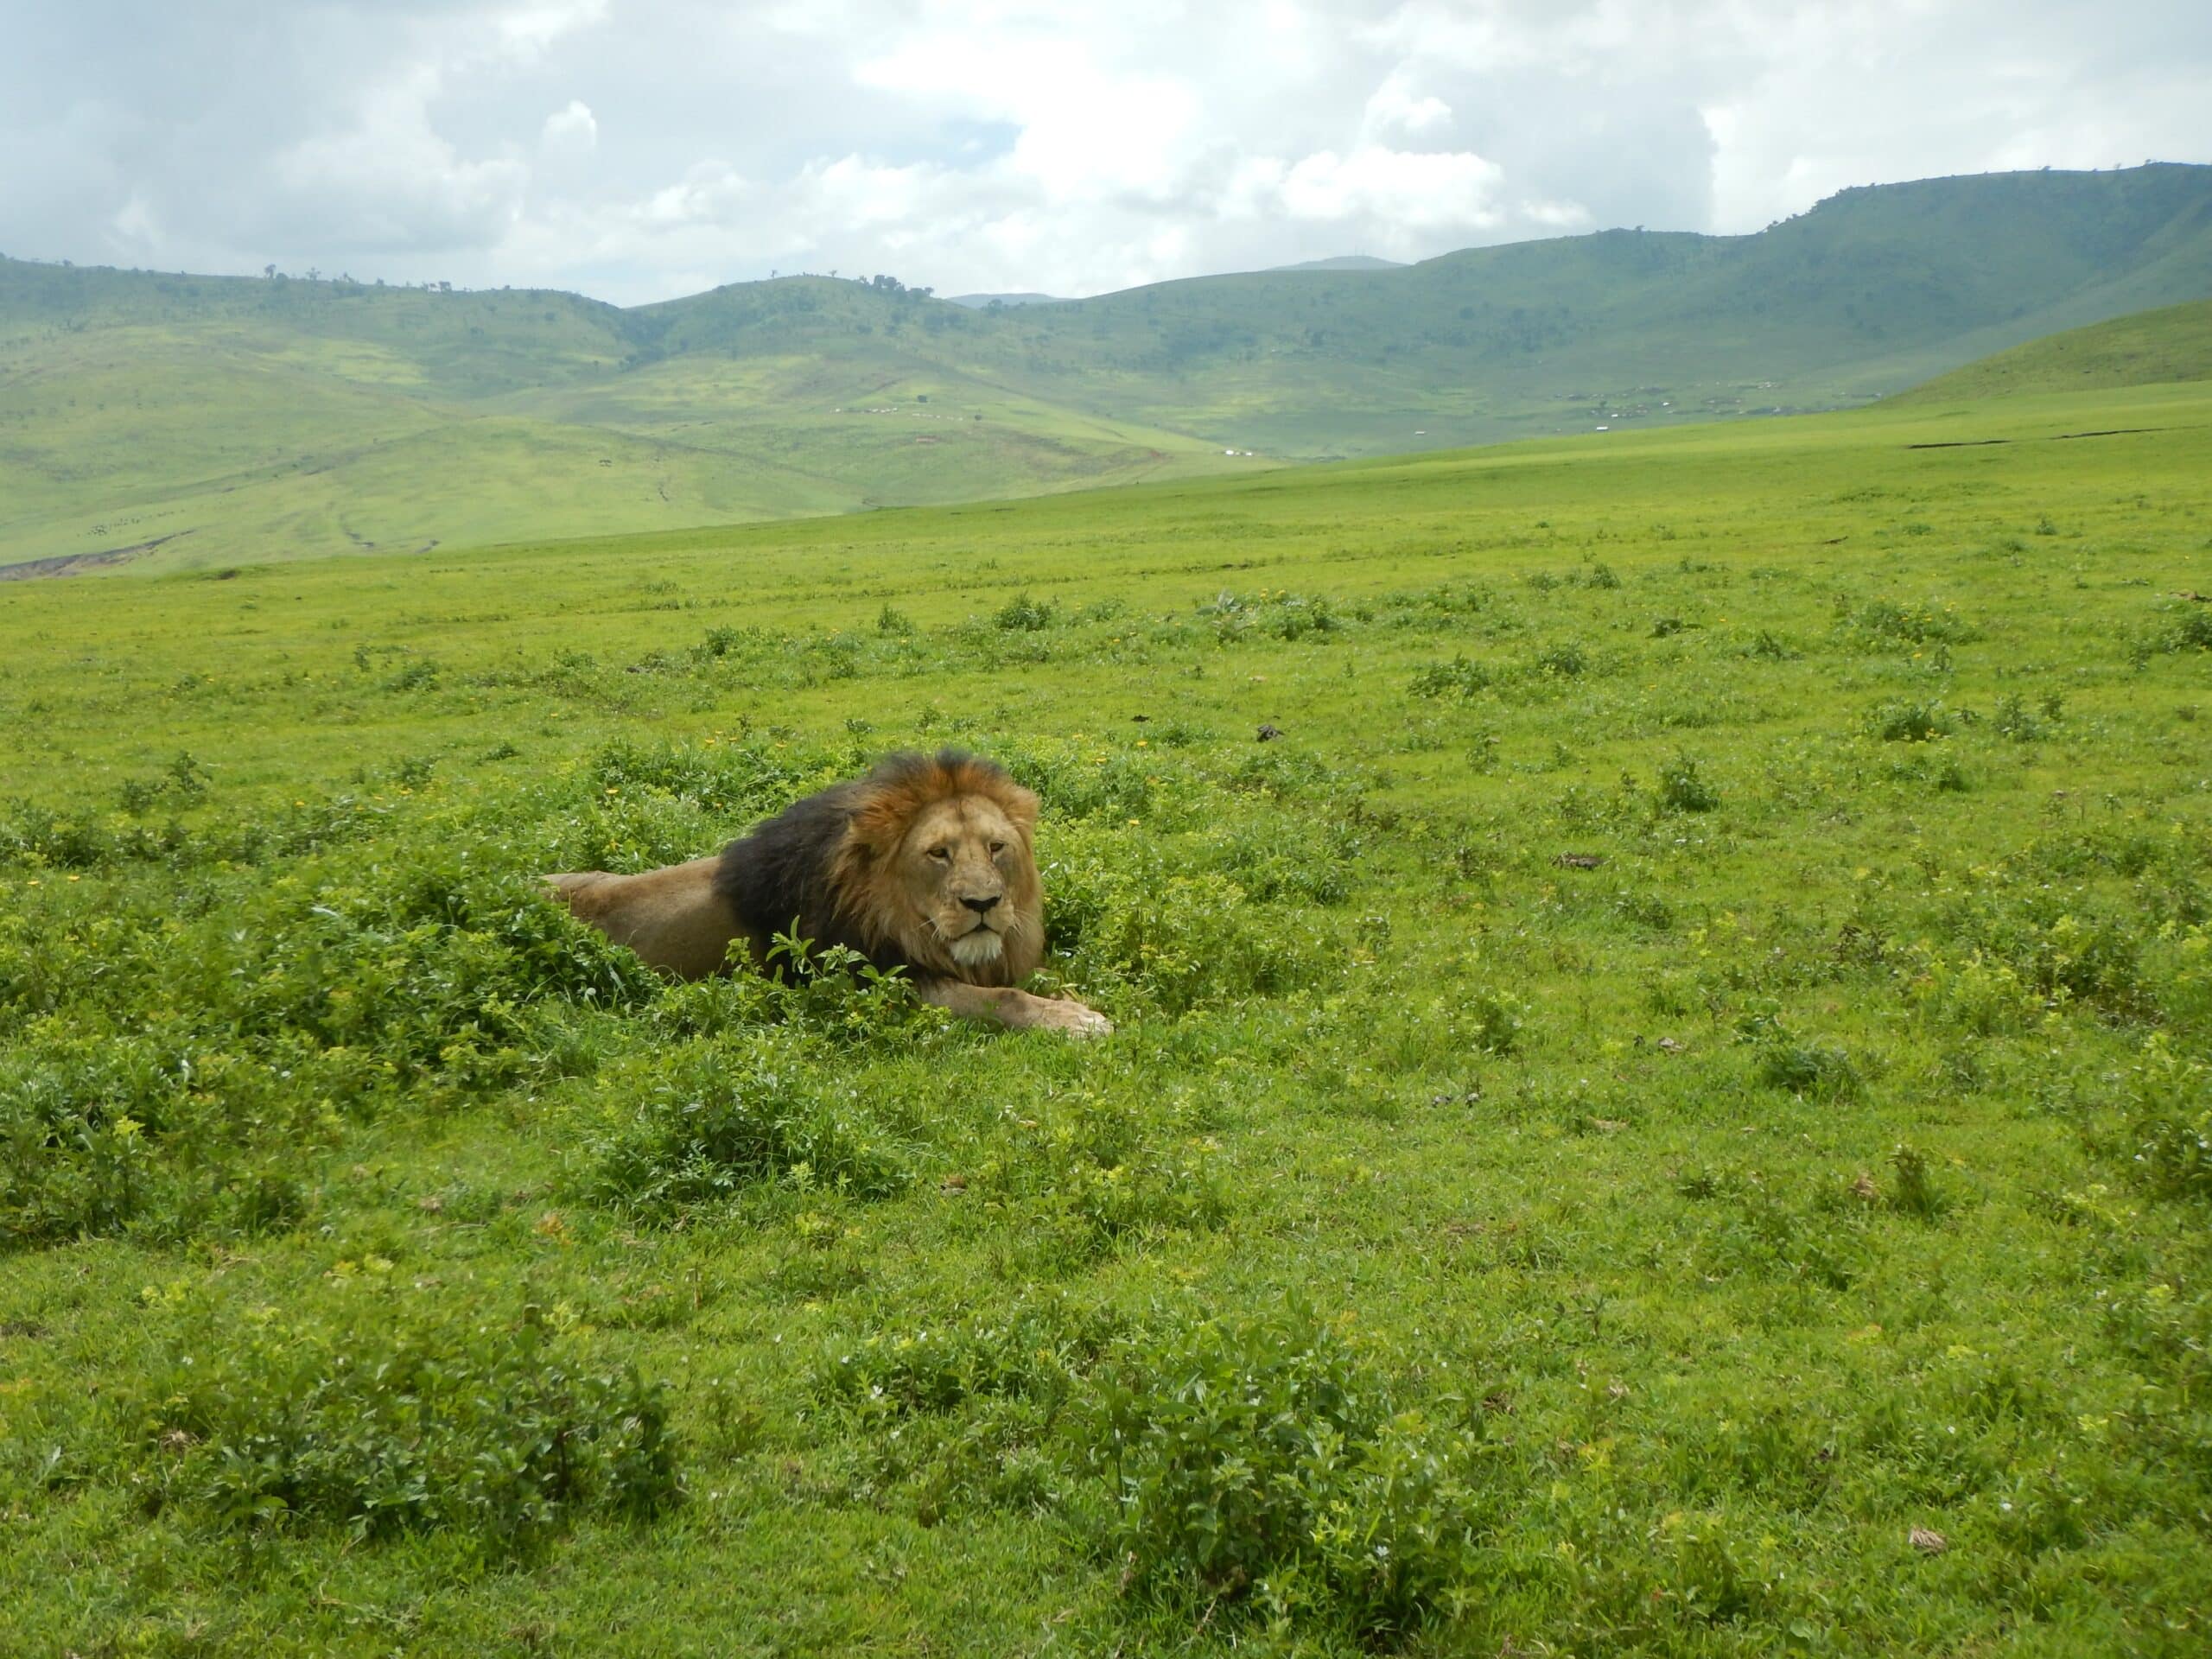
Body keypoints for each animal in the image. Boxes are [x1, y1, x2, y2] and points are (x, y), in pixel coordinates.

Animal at [543, 749, 1111, 1037]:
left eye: (996, 848)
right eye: (938, 853)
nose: (983, 904)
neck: (900, 916)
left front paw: (1073, 1000)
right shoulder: (885, 982)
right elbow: (1004, 997)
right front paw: (1077, 1020)